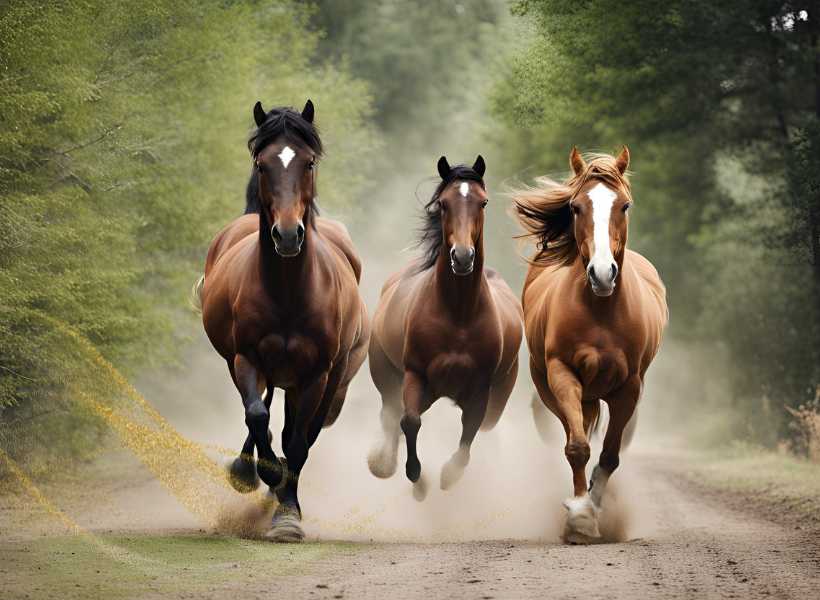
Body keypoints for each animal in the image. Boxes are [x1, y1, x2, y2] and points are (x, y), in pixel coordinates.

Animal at [198, 99, 370, 541]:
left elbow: (297, 443)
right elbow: (258, 416)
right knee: (263, 411)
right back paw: (249, 471)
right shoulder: (246, 358)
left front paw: (287, 515)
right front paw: (263, 475)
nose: (288, 235)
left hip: (325, 378)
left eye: (308, 162)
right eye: (262, 164)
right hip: (254, 366)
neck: (290, 291)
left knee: (301, 432)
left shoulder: (317, 374)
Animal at [367, 155, 523, 500]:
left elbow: (469, 434)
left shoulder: (480, 390)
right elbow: (410, 422)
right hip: (388, 377)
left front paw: (449, 476)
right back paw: (382, 463)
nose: (462, 257)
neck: (459, 314)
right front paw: (418, 479)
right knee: (391, 415)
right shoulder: (416, 375)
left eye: (483, 201)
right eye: (443, 203)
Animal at [513, 147, 667, 543]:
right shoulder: (563, 374)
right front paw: (581, 517)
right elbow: (578, 447)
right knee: (573, 431)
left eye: (624, 205)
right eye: (575, 206)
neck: (601, 311)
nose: (601, 273)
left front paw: (594, 504)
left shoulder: (629, 387)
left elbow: (610, 455)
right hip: (554, 388)